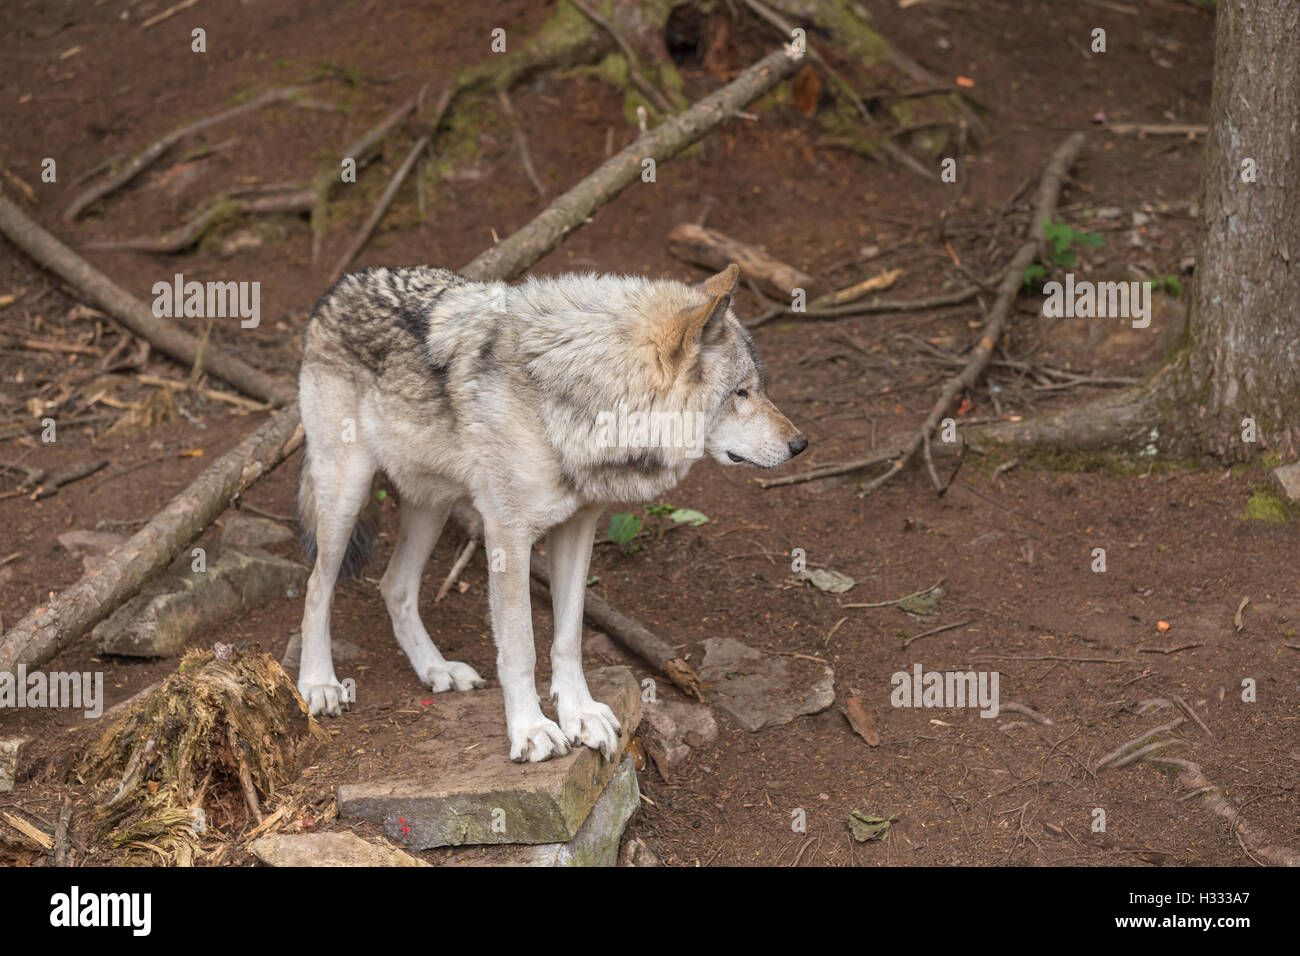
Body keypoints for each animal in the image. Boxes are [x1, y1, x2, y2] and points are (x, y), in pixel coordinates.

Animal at [296, 262, 806, 762]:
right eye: (741, 392)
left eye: (758, 389)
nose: (800, 444)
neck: (577, 397)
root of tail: (341, 285)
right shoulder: (507, 534)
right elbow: (521, 646)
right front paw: (532, 730)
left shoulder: (578, 527)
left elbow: (568, 637)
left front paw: (580, 715)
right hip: (347, 493)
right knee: (317, 586)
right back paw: (318, 683)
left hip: (430, 507)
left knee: (394, 587)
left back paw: (437, 669)